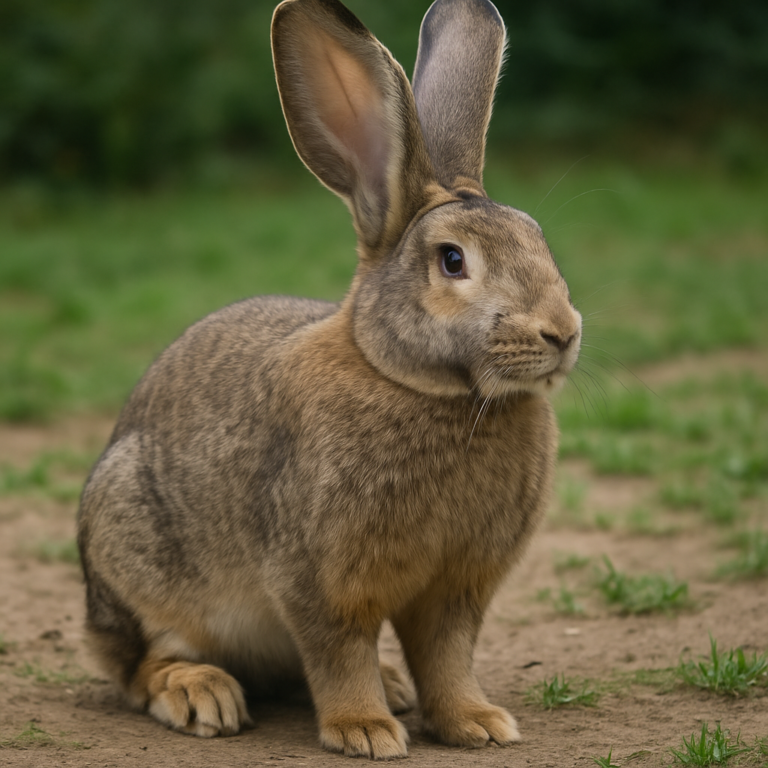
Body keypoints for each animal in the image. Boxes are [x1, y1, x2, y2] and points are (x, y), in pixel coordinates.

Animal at [76, 0, 582, 759]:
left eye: (539, 240)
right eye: (453, 260)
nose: (562, 332)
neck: (420, 385)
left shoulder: (455, 589)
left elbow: (446, 655)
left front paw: (477, 724)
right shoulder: (319, 580)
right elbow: (338, 651)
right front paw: (364, 732)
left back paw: (394, 689)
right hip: (139, 565)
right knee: (146, 666)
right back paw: (204, 696)